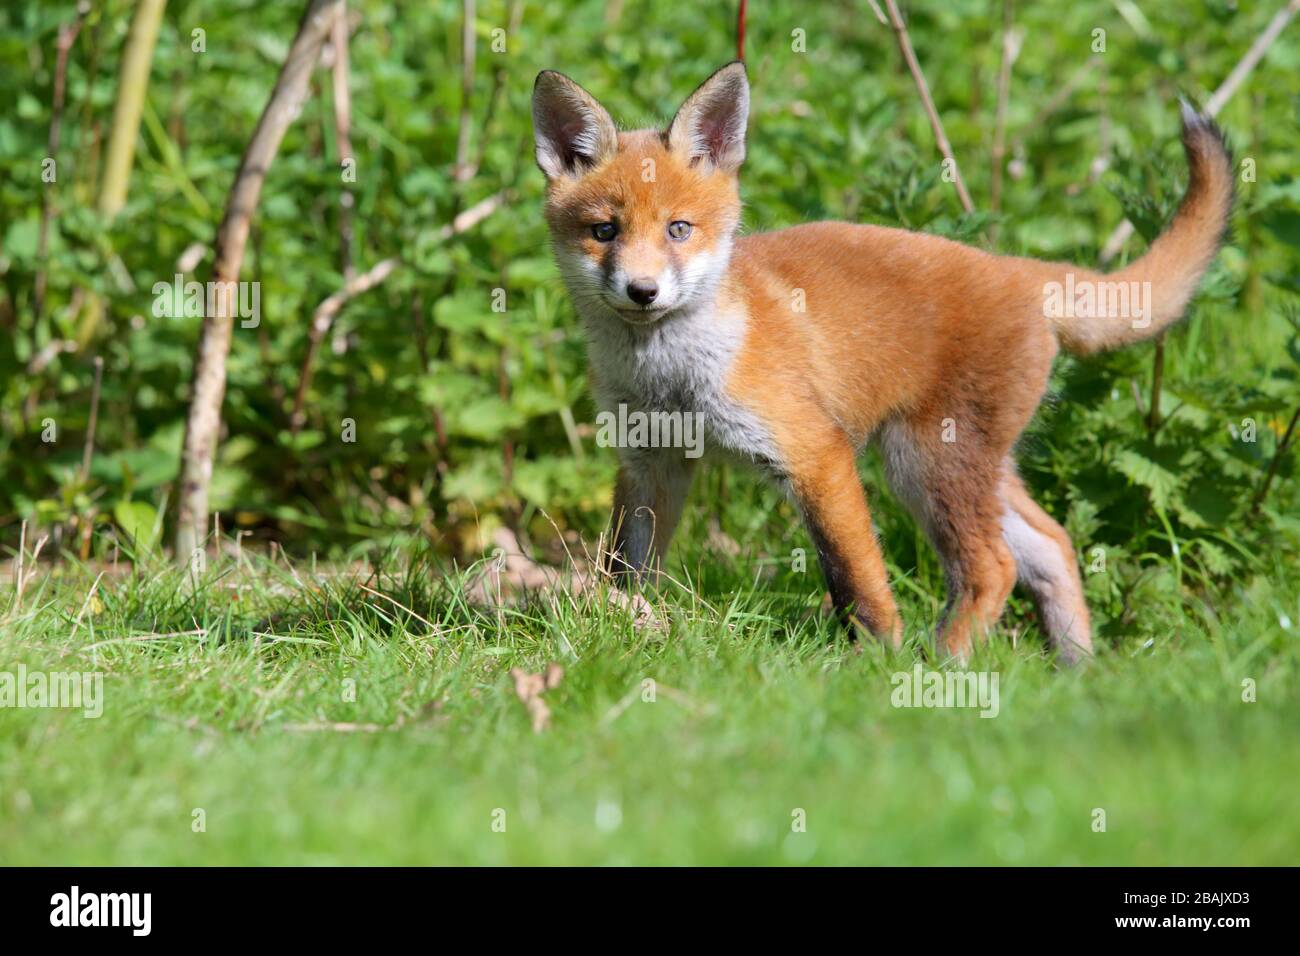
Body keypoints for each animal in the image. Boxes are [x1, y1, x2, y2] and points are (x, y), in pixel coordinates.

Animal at [531, 61, 1233, 664]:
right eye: (604, 232)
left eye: (678, 229)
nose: (642, 291)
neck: (671, 379)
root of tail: (1020, 270)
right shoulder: (651, 461)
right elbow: (625, 566)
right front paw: (625, 624)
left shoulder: (817, 453)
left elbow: (857, 580)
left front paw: (876, 664)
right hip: (974, 469)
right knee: (1053, 545)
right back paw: (1076, 670)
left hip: (924, 462)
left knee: (993, 568)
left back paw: (941, 666)